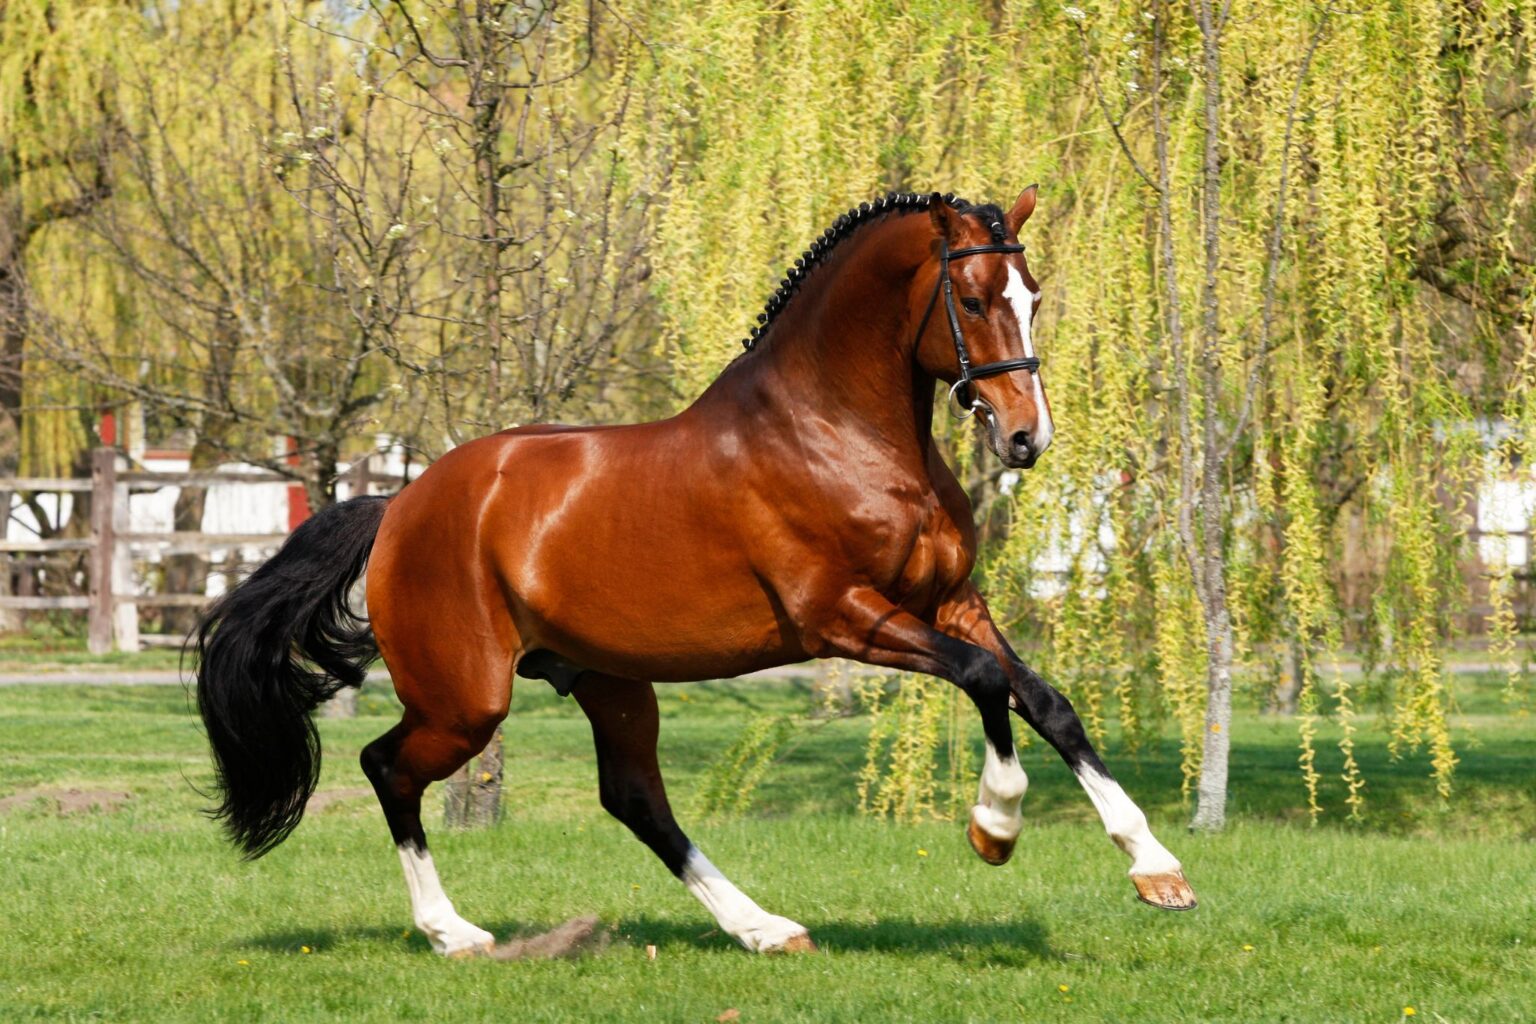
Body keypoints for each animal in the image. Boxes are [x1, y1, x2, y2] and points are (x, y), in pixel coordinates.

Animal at [195, 187, 1196, 958]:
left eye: (1034, 294)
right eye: (977, 296)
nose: (1028, 438)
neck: (840, 435)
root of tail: (400, 505)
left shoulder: (950, 601)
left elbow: (1047, 701)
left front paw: (1157, 870)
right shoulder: (846, 617)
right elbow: (989, 682)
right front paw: (996, 829)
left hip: (607, 680)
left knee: (636, 801)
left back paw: (764, 928)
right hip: (466, 699)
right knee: (387, 767)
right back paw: (455, 933)